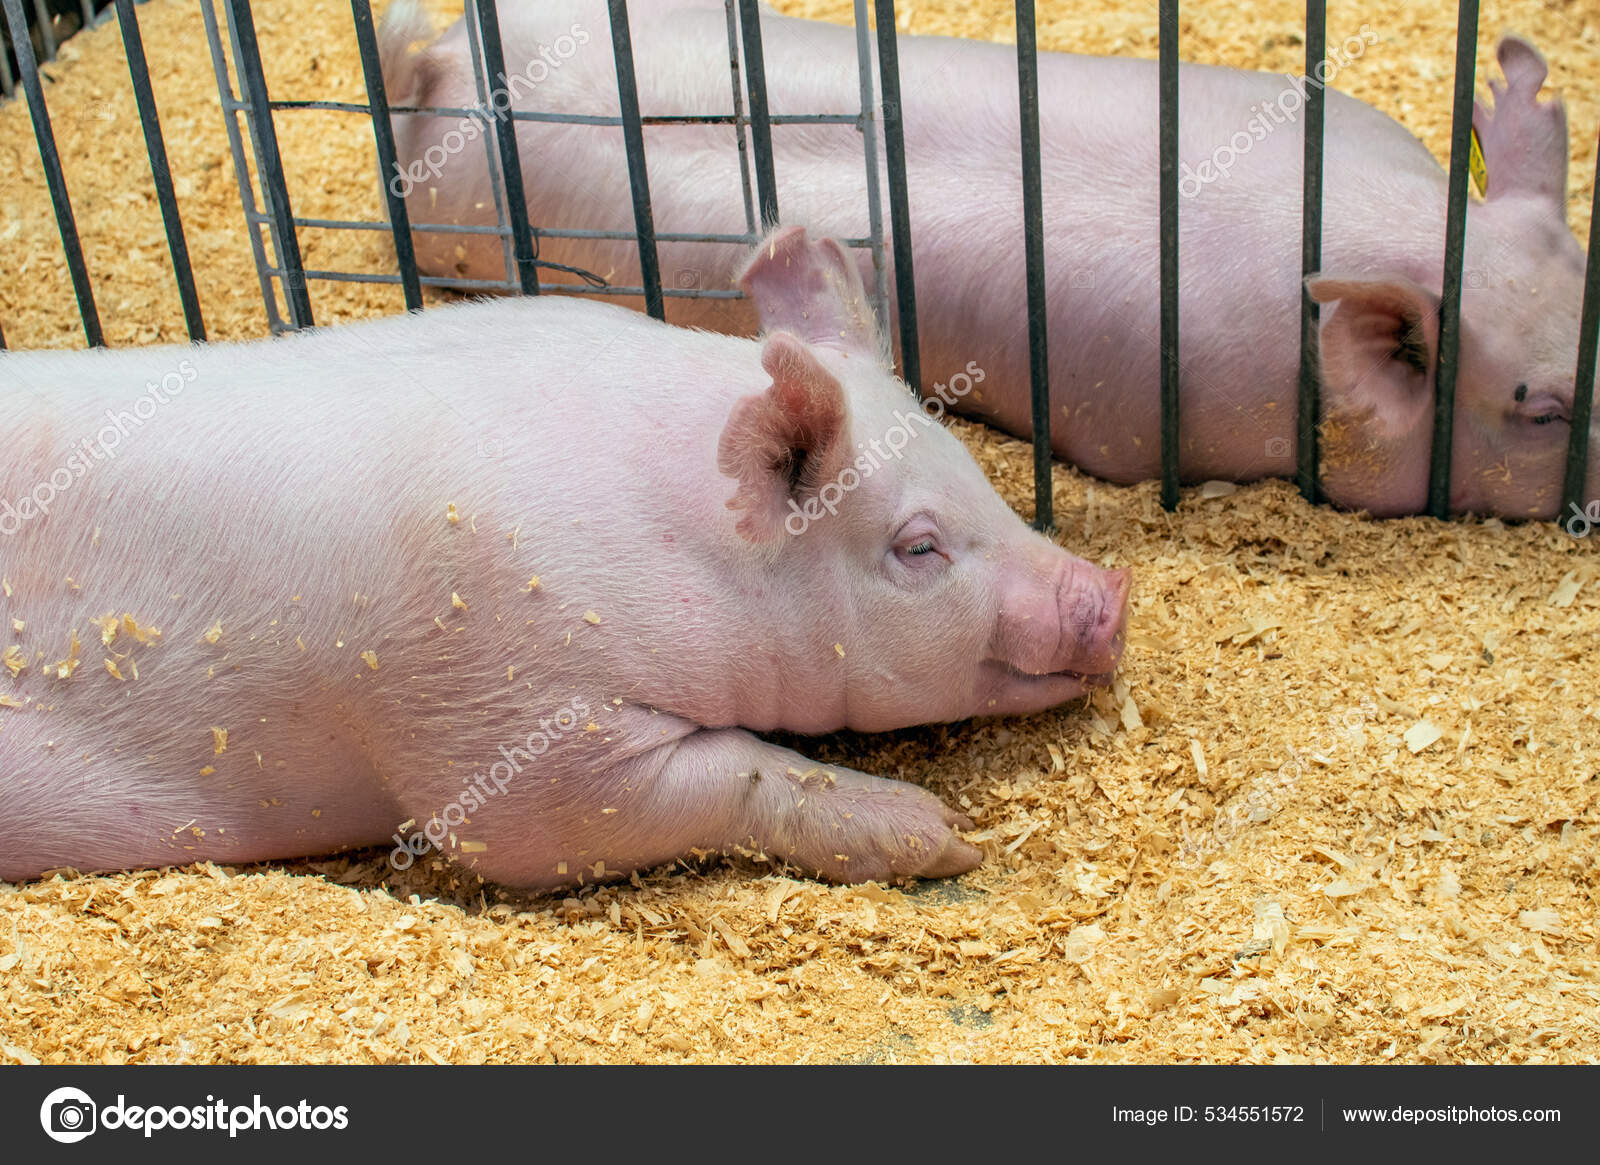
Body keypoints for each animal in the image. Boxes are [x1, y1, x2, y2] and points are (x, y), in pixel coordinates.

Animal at [0, 228, 1128, 888]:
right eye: (918, 545)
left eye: (976, 470)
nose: (1108, 596)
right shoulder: (503, 723)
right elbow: (712, 779)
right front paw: (945, 835)